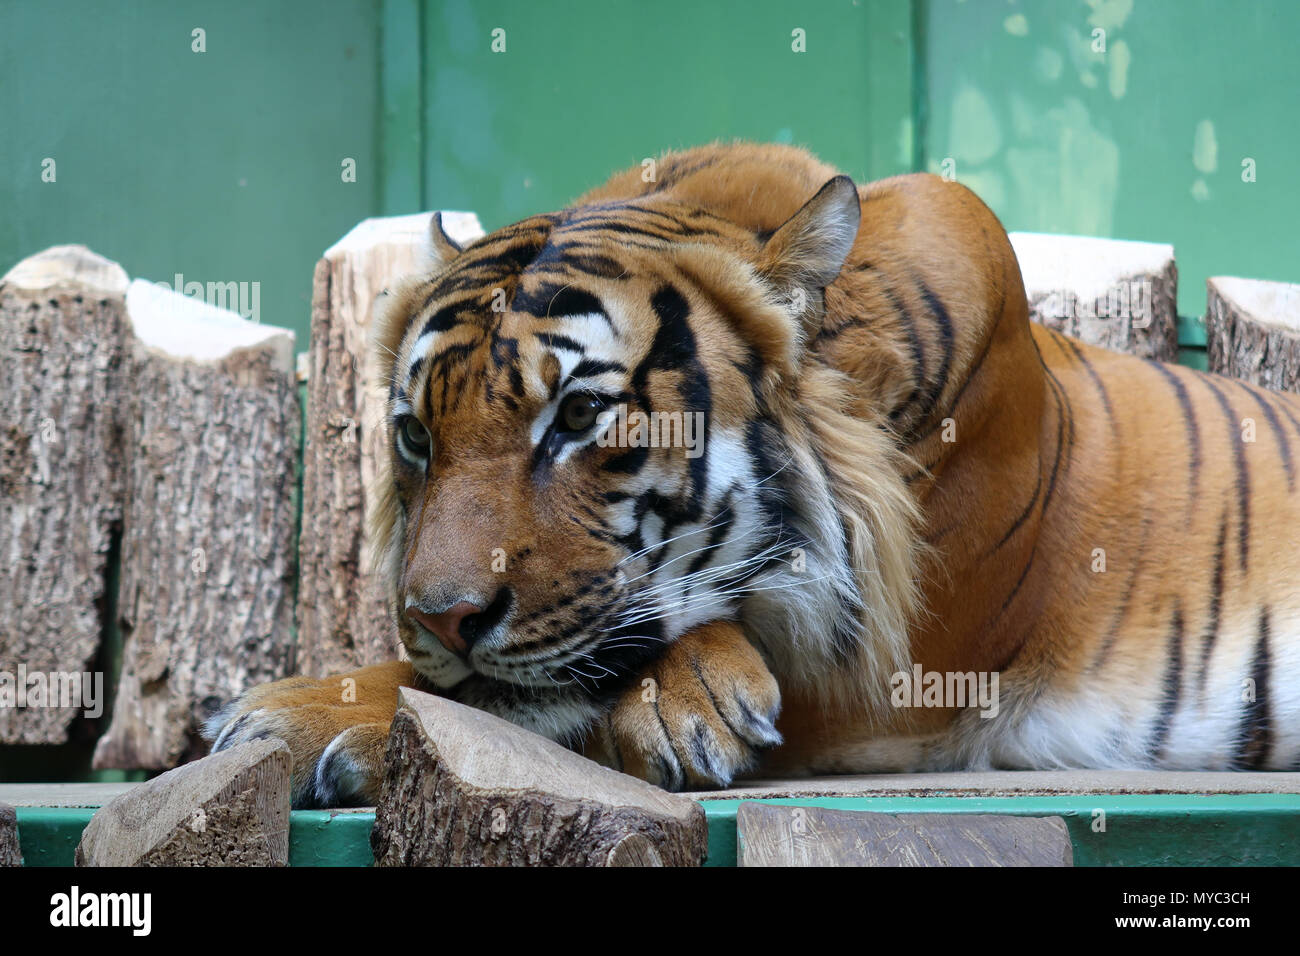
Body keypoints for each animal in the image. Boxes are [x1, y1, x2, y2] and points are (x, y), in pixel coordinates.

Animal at [206, 141, 1300, 809]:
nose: (438, 620)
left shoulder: (895, 675)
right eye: (416, 437)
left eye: (579, 416)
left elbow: (537, 694)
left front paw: (307, 719)